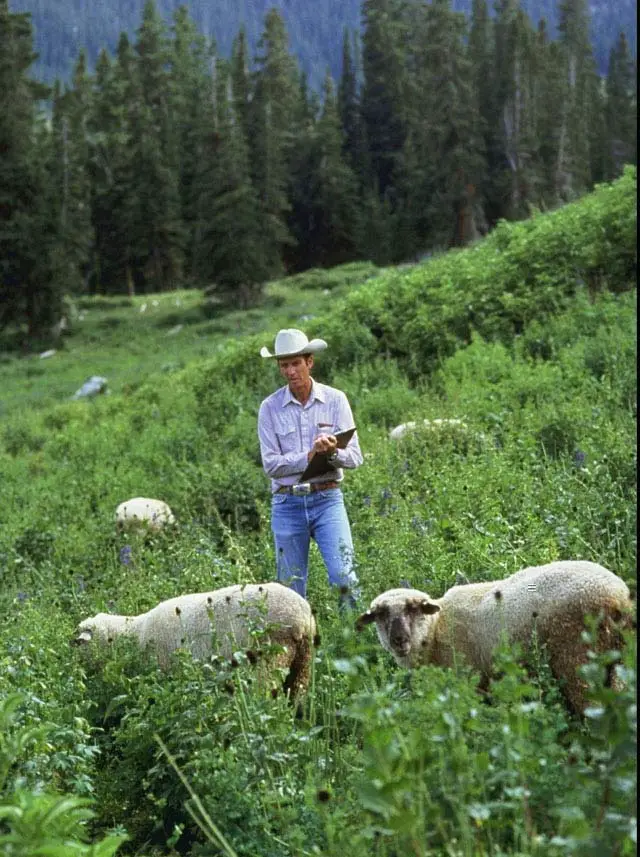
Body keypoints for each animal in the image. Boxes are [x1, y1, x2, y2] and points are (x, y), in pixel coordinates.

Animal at [356, 561, 634, 714]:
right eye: (379, 615)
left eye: (413, 609)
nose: (399, 640)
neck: (435, 632)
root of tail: (619, 597)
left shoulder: (469, 683)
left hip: (576, 657)